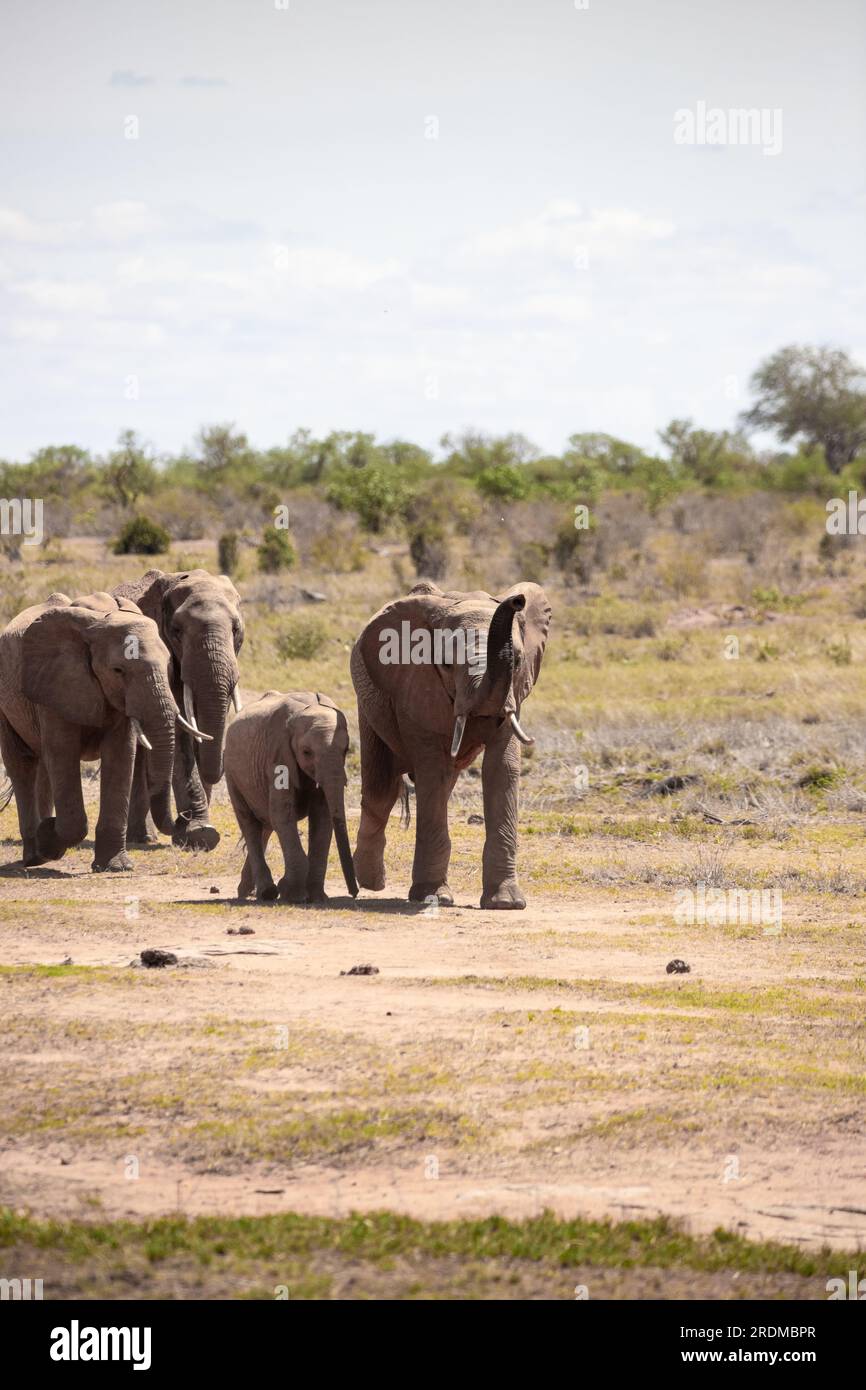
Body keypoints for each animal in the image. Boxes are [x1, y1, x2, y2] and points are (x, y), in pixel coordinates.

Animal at [0, 591, 201, 871]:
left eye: (169, 663)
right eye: (118, 670)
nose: (185, 818)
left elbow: (121, 755)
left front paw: (116, 866)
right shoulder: (55, 684)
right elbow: (63, 753)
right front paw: (49, 838)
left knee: (43, 769)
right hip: (7, 702)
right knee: (22, 765)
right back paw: (35, 856)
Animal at [112, 568, 243, 851]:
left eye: (236, 629)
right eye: (176, 630)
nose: (181, 819)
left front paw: (195, 831)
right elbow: (181, 734)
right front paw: (200, 833)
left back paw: (144, 837)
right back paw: (142, 838)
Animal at [224, 690, 359, 903]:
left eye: (345, 750)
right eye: (306, 752)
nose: (354, 893)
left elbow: (322, 819)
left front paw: (317, 897)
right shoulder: (277, 755)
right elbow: (282, 815)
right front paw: (292, 894)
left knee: (266, 826)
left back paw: (248, 892)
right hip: (231, 774)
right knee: (250, 824)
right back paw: (266, 893)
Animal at [350, 581, 551, 909]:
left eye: (518, 662)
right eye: (446, 664)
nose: (517, 600)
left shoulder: (515, 696)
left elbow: (502, 767)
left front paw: (506, 903)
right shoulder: (416, 688)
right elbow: (433, 770)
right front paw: (433, 897)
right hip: (368, 706)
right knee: (382, 789)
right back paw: (370, 882)